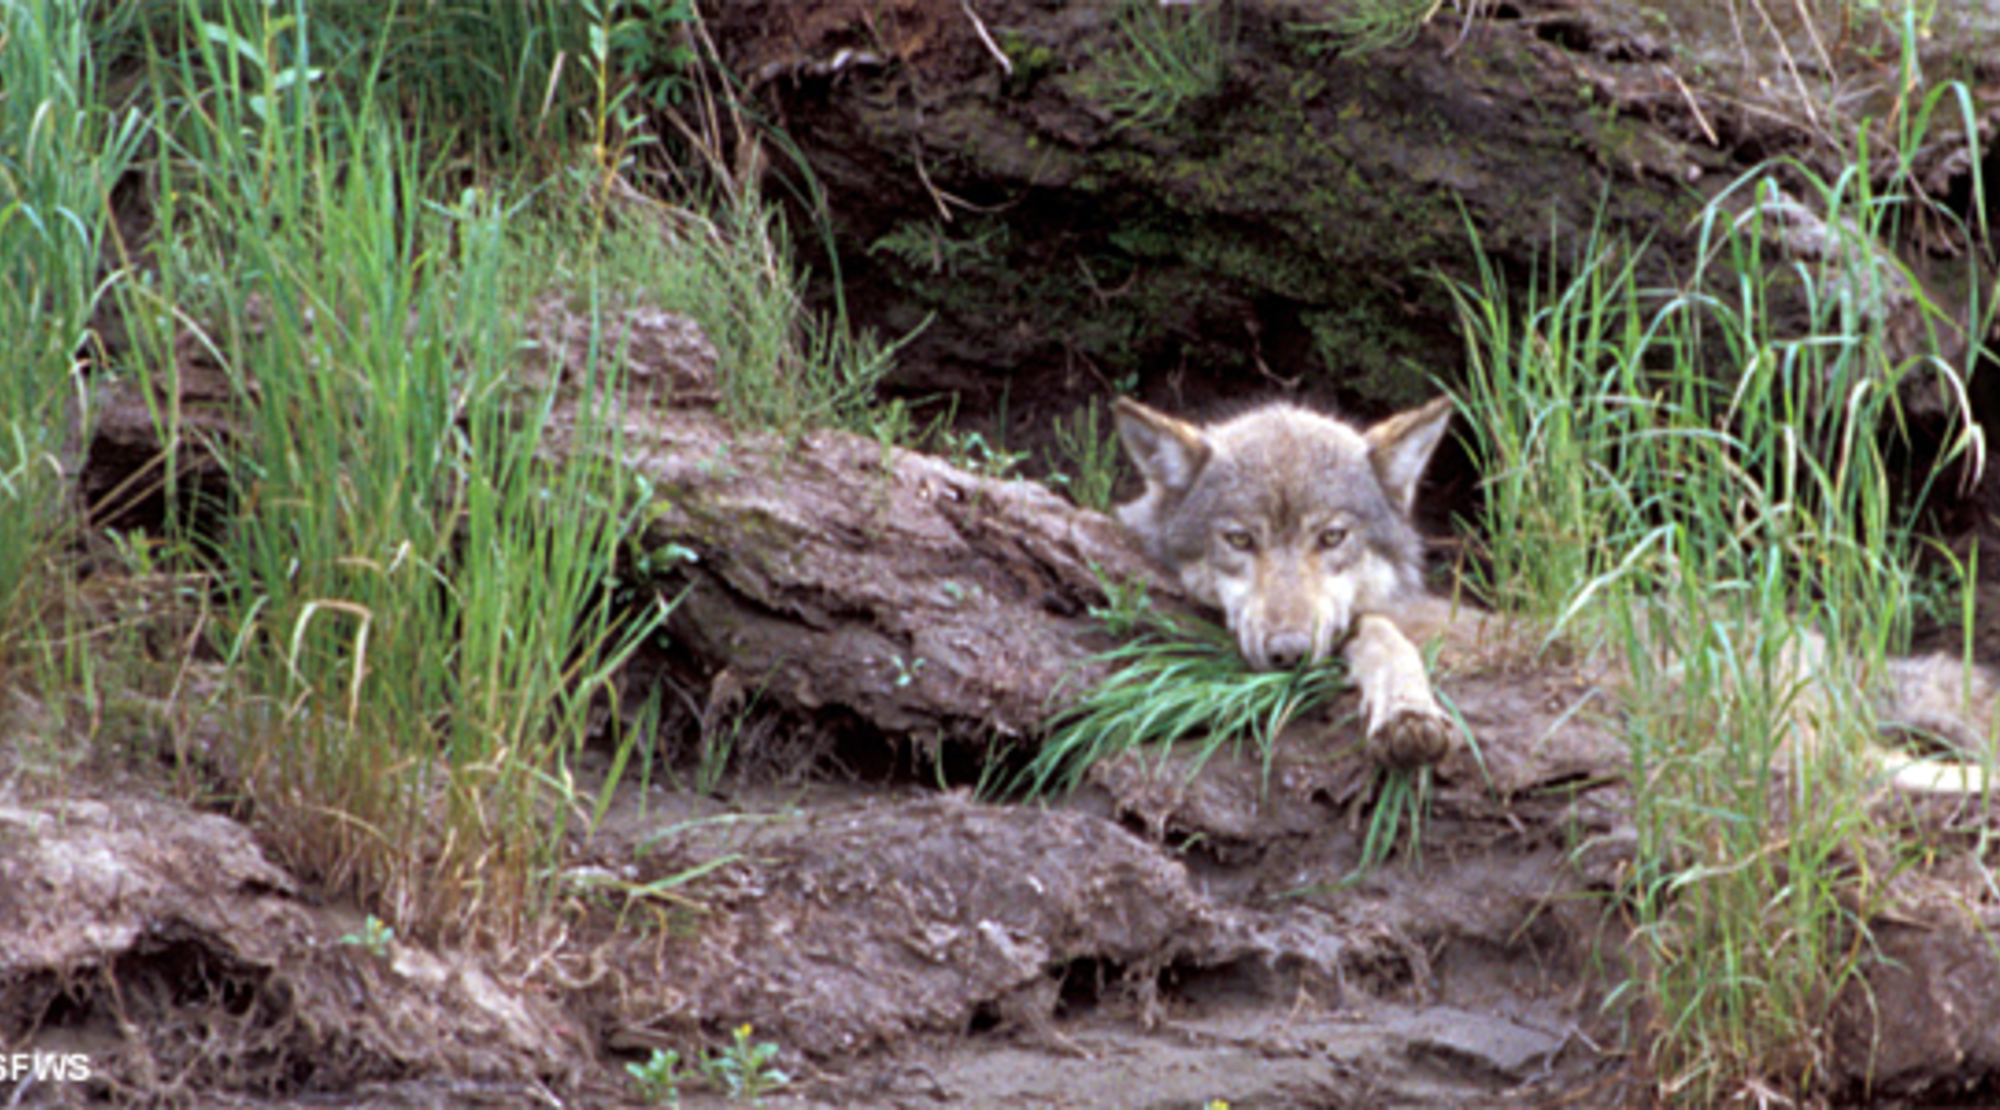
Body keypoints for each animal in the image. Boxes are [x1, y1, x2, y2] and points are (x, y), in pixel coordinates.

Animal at [1112, 394, 1998, 787]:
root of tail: (1834, 650)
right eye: (1240, 540)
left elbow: (1381, 637)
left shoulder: (1381, 621)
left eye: (1332, 538)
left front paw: (1408, 714)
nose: (1290, 651)